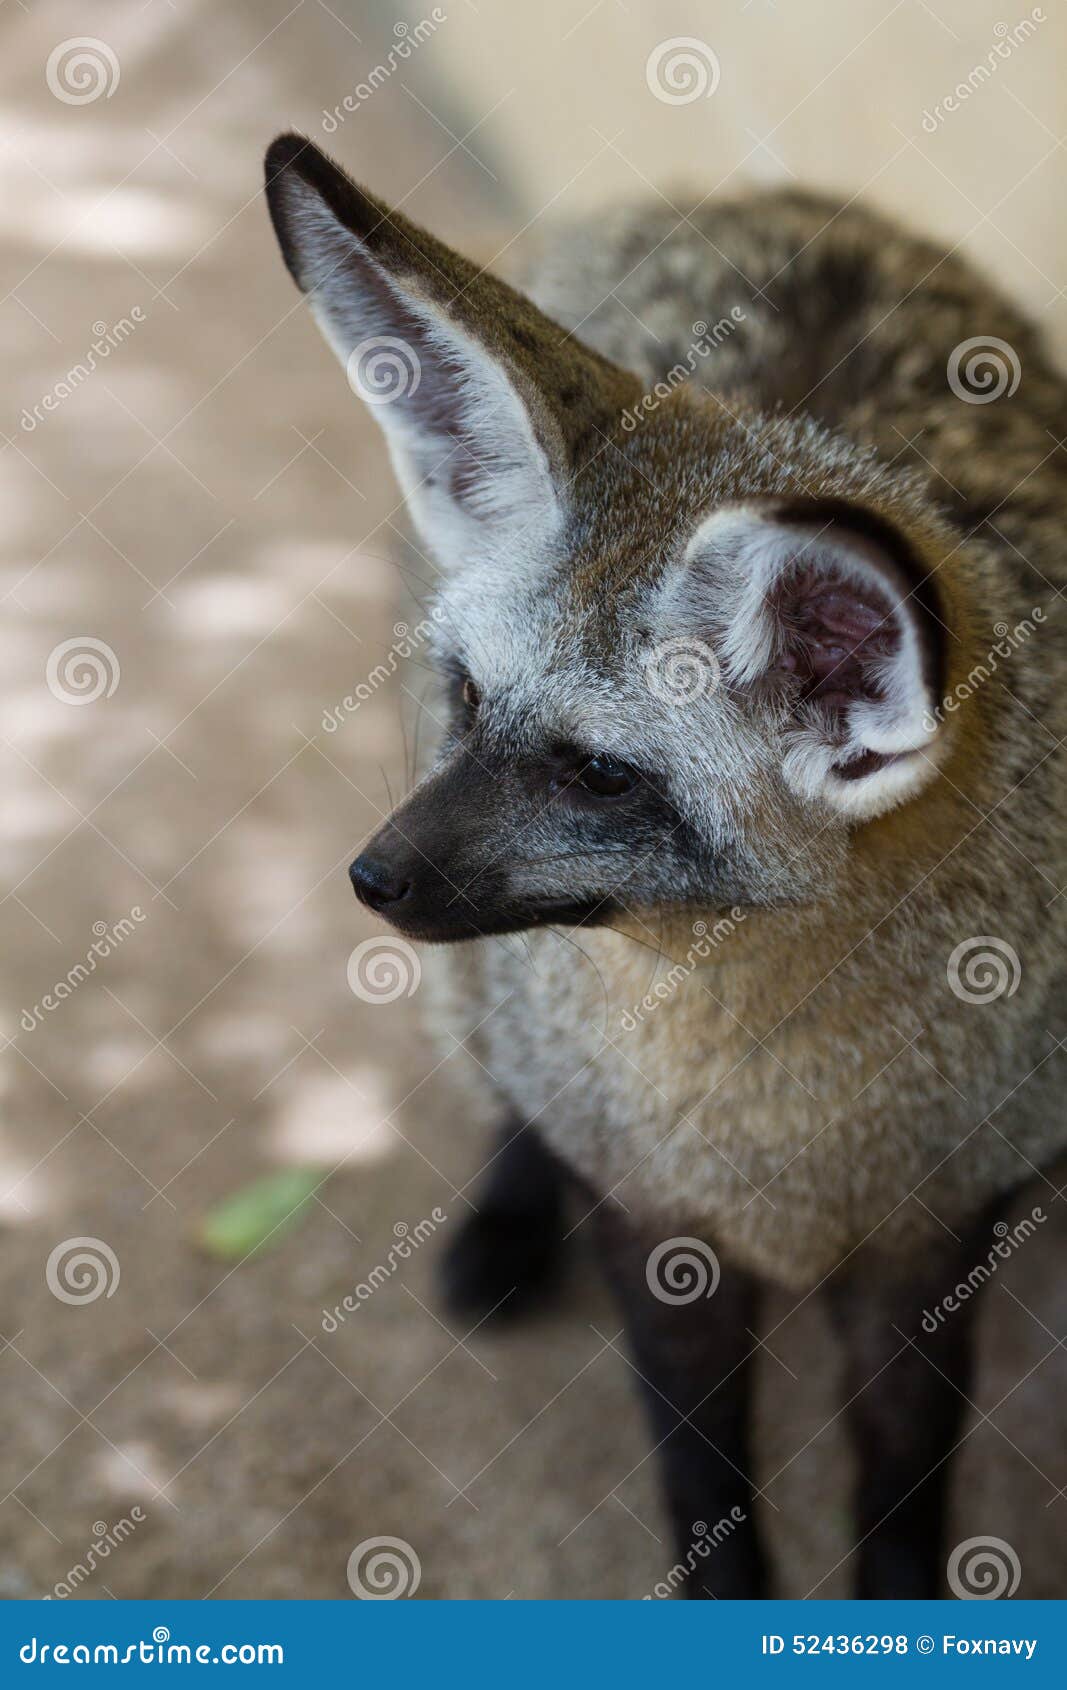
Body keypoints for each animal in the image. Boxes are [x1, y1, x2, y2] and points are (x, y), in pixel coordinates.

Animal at [264, 131, 1067, 1599]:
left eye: (596, 774)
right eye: (469, 700)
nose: (371, 878)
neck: (775, 1136)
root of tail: (749, 191)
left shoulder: (933, 1228)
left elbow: (901, 1473)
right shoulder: (651, 1218)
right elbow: (698, 1462)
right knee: (506, 1084)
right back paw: (504, 1212)